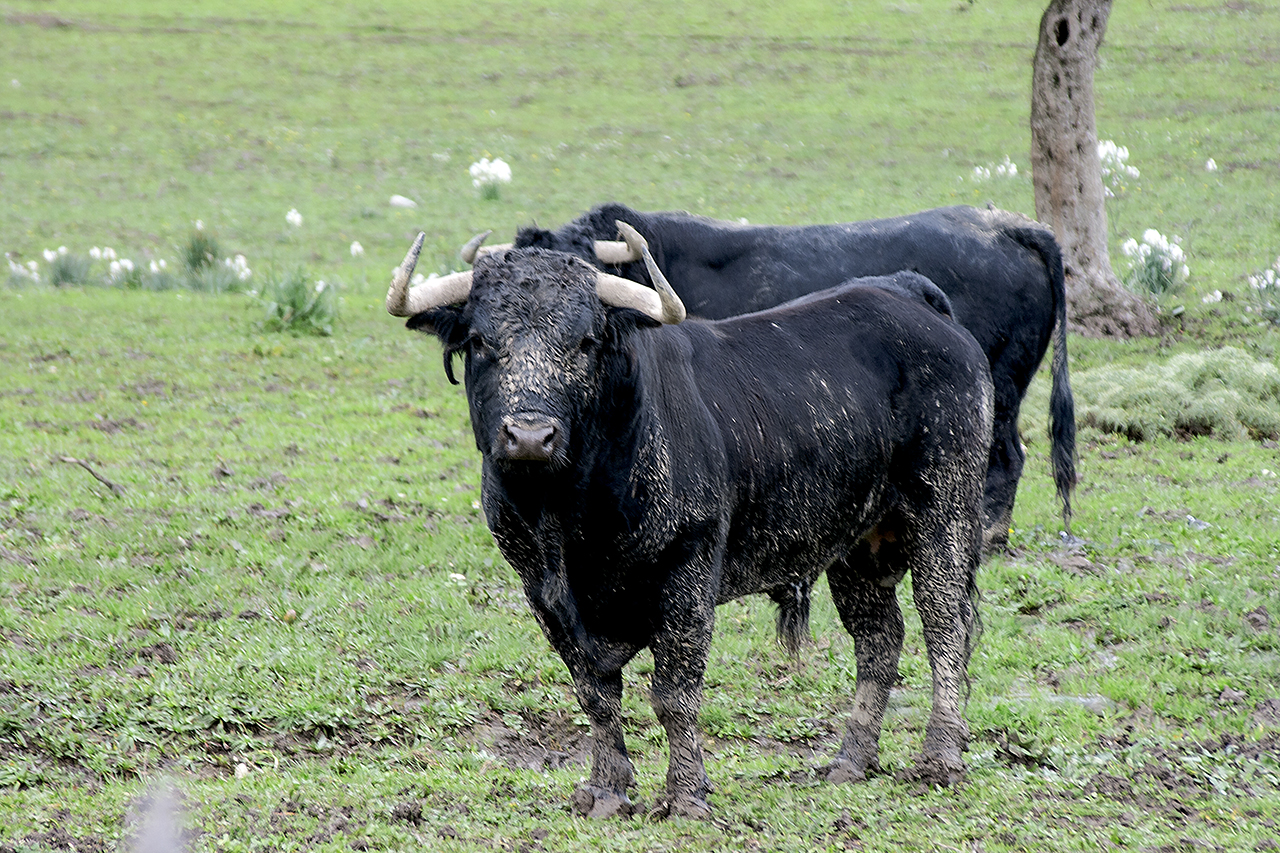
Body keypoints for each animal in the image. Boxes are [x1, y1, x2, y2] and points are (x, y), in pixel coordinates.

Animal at [388, 223, 995, 818]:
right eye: (480, 341)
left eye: (585, 341)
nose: (531, 437)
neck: (569, 519)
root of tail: (910, 294)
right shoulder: (543, 593)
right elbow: (595, 694)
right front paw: (606, 789)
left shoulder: (687, 576)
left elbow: (673, 694)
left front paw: (685, 794)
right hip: (857, 544)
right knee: (878, 640)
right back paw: (852, 759)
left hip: (946, 512)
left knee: (944, 626)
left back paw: (939, 759)